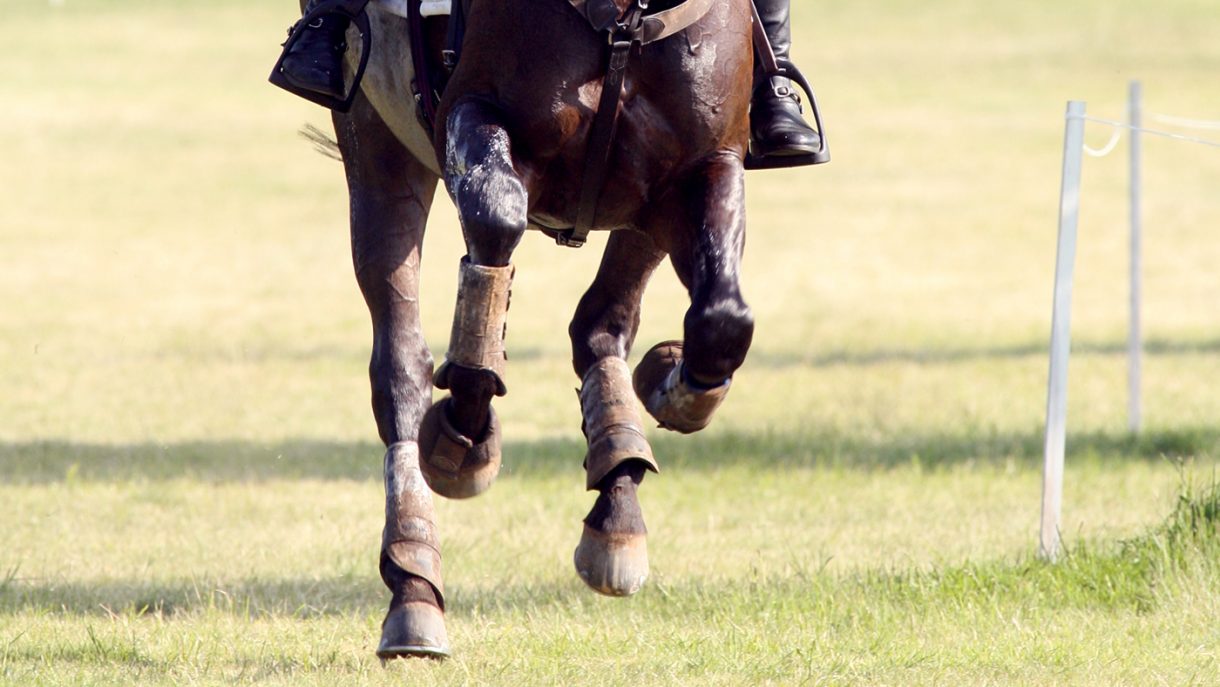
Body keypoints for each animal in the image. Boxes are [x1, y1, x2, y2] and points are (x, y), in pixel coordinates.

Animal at [303, 0, 759, 659]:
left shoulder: (702, 168)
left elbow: (721, 321)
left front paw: (666, 382)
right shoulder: (472, 112)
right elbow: (497, 215)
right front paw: (463, 434)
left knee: (602, 324)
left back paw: (618, 501)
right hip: (375, 141)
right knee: (400, 366)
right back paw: (414, 587)